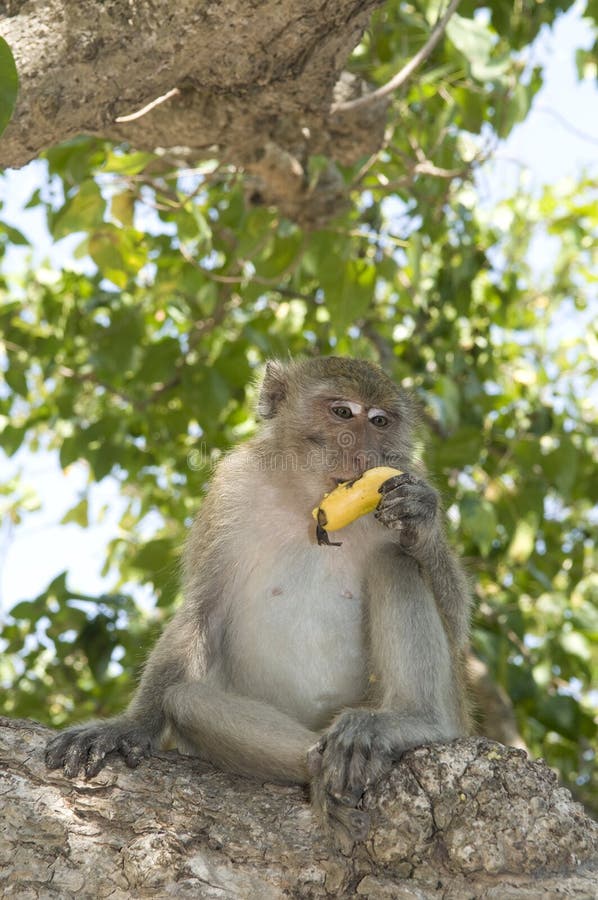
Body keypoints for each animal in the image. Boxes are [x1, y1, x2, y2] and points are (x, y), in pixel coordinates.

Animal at [46, 356, 472, 839]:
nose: (365, 453)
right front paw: (130, 726)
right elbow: (203, 609)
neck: (312, 501)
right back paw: (318, 768)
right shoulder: (234, 488)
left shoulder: (408, 479)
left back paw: (411, 722)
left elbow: (456, 628)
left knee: (395, 561)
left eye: (380, 421)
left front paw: (421, 517)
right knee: (187, 700)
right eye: (342, 413)